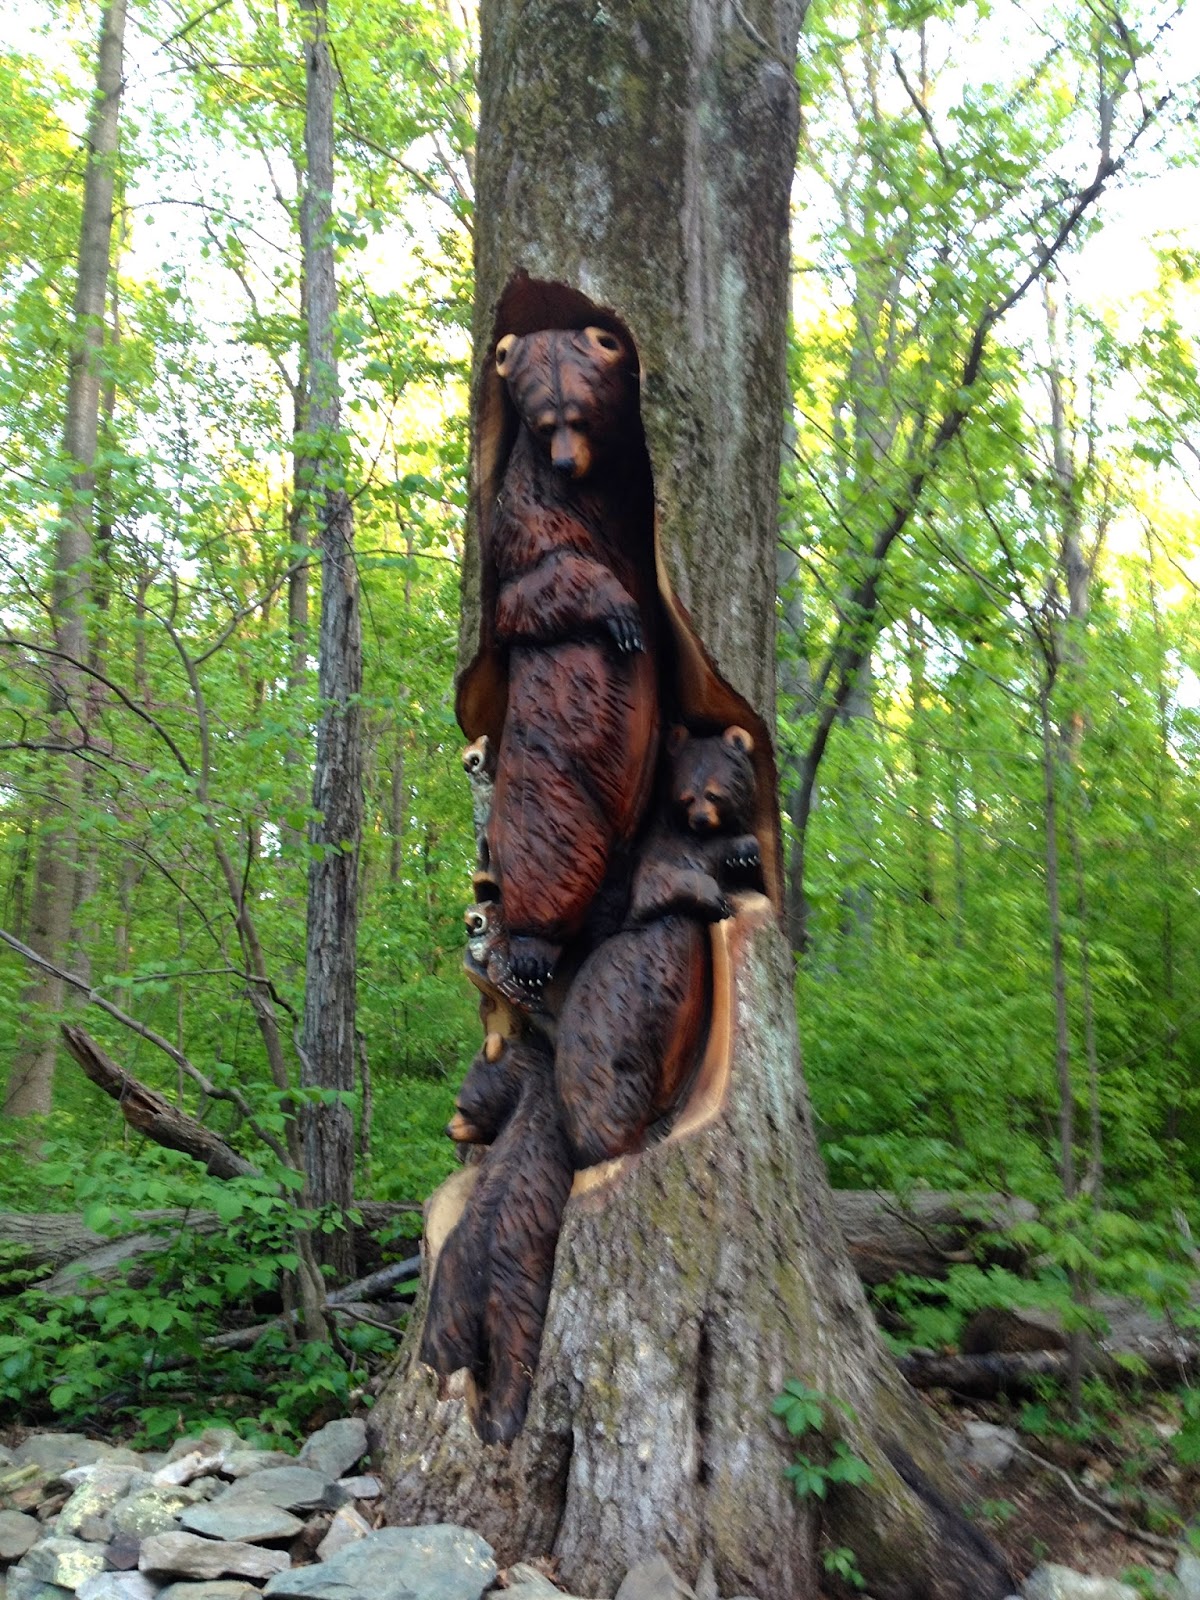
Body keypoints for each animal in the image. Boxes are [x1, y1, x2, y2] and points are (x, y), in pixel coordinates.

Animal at [419, 1031, 574, 1445]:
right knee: (514, 1354)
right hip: (517, 1292)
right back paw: (506, 1419)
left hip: (447, 1298)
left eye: (461, 1104)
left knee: (442, 1352)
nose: (448, 1129)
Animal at [484, 325, 660, 988]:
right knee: (548, 843)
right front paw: (620, 612)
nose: (564, 460)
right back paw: (535, 946)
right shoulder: (530, 516)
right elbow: (530, 585)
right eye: (542, 423)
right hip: (553, 779)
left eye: (579, 416)